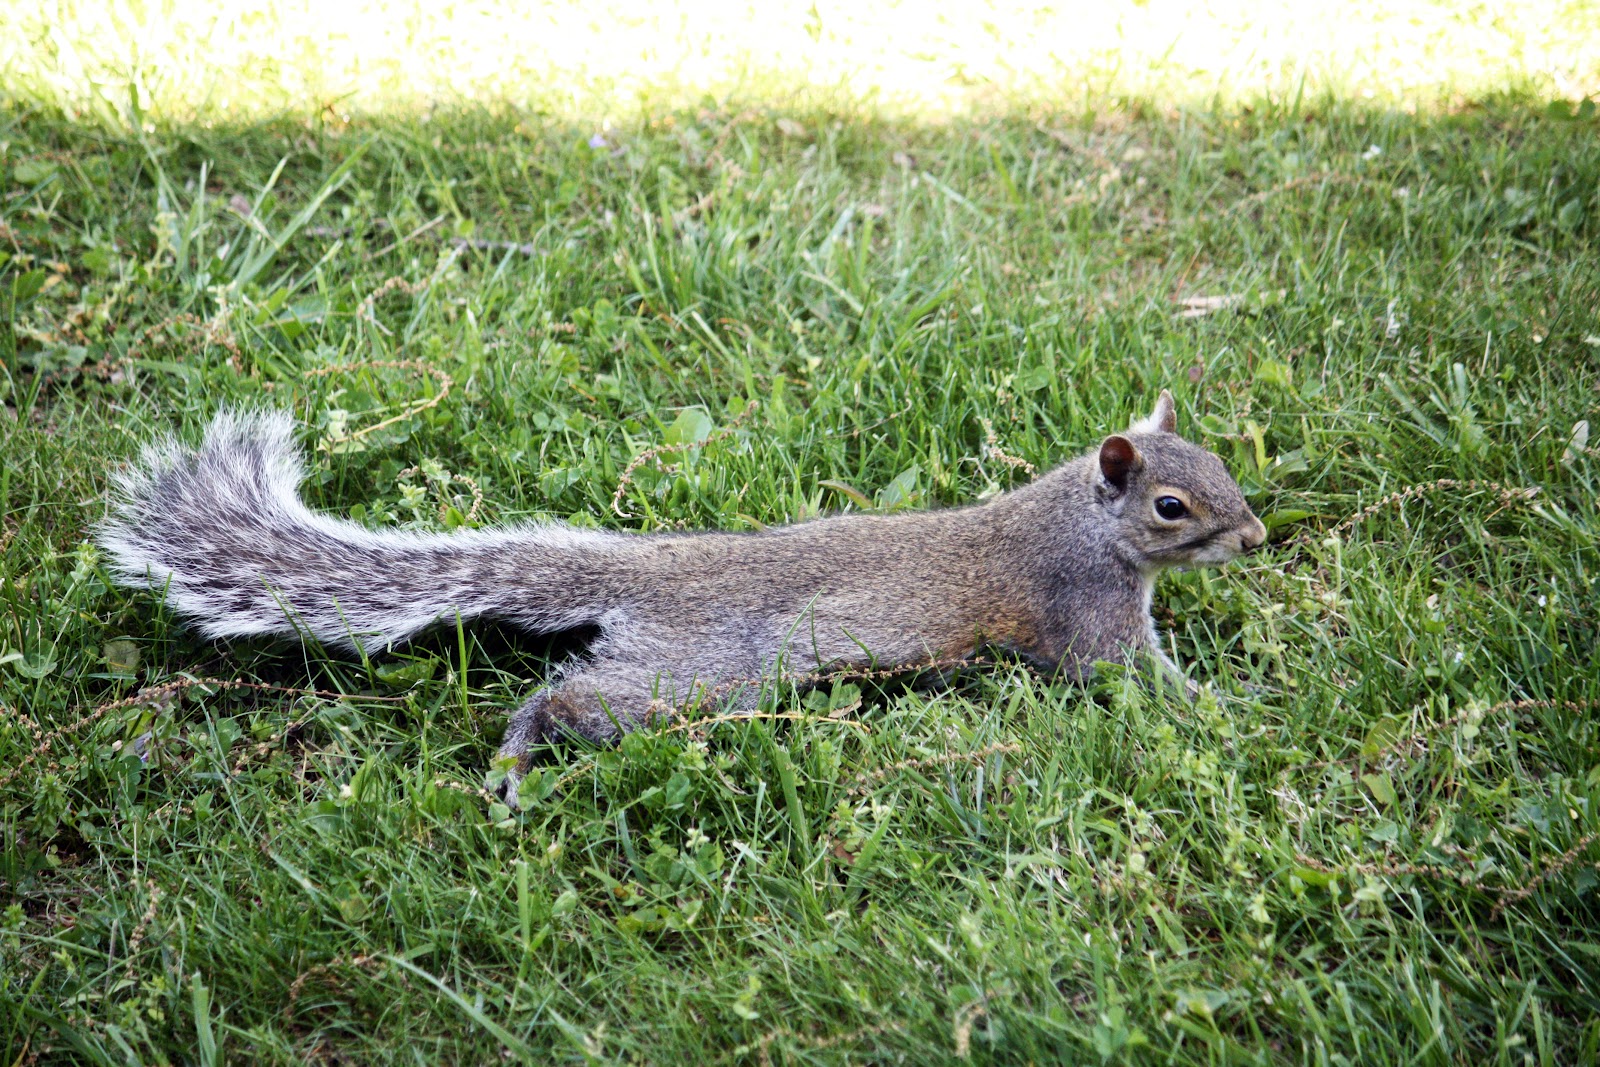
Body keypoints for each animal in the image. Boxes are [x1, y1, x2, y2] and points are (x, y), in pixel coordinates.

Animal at [97, 390, 1266, 804]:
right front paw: (1230, 715)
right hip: (699, 676)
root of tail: (650, 572)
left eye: (1222, 463)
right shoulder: (1083, 615)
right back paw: (516, 766)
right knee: (566, 696)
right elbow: (1134, 679)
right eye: (1170, 504)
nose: (1254, 534)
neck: (1081, 521)